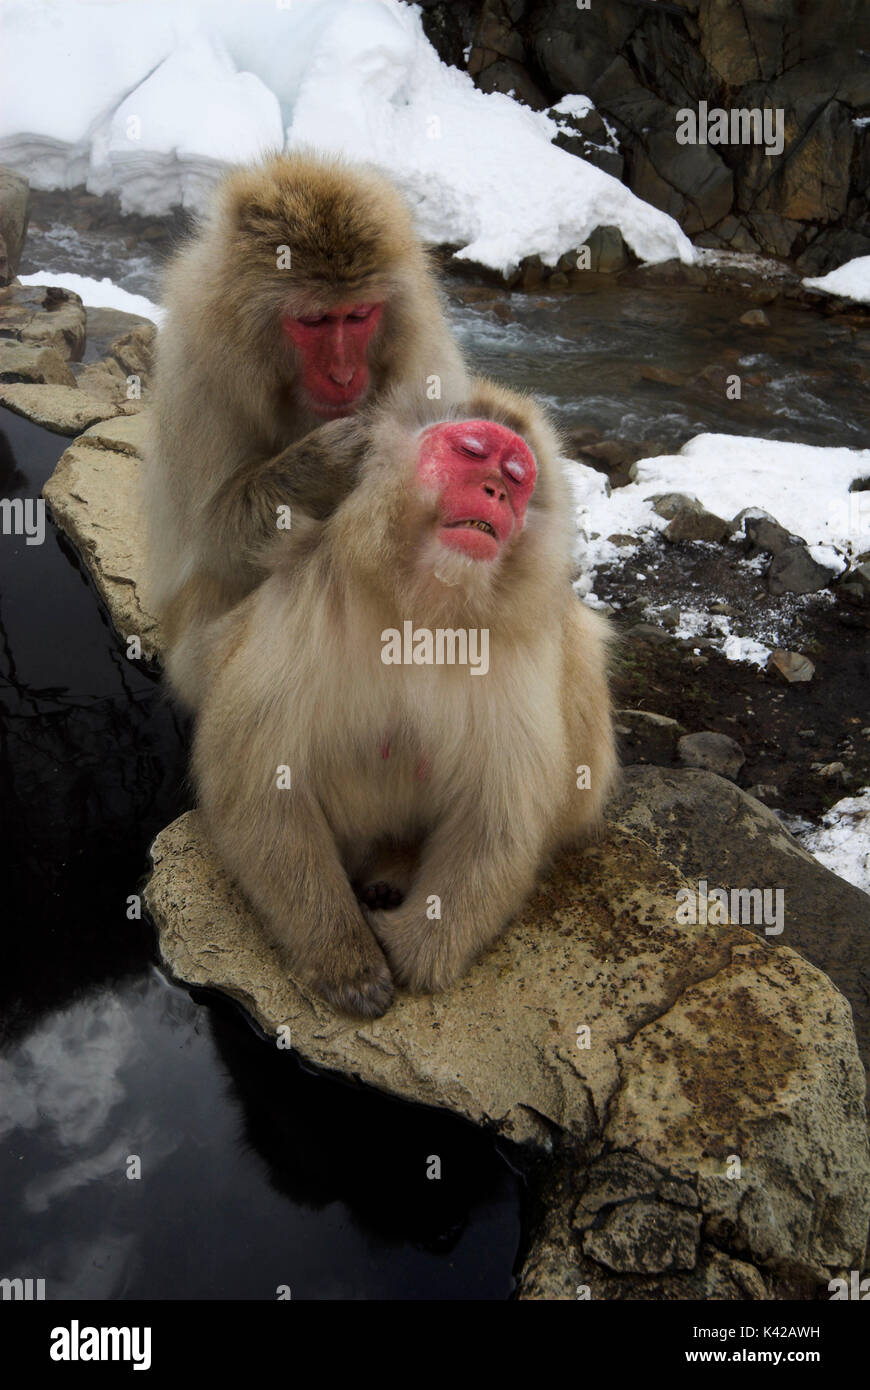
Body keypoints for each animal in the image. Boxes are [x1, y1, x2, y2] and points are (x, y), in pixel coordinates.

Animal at [143, 151, 469, 708]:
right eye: (315, 321)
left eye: (357, 315)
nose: (344, 375)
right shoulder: (195, 373)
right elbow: (205, 538)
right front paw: (326, 463)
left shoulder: (424, 364)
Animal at [191, 379, 618, 1018]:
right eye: (471, 452)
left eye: (516, 475)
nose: (495, 492)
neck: (425, 604)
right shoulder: (306, 599)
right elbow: (262, 788)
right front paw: (346, 960)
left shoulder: (522, 652)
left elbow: (498, 814)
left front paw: (416, 949)